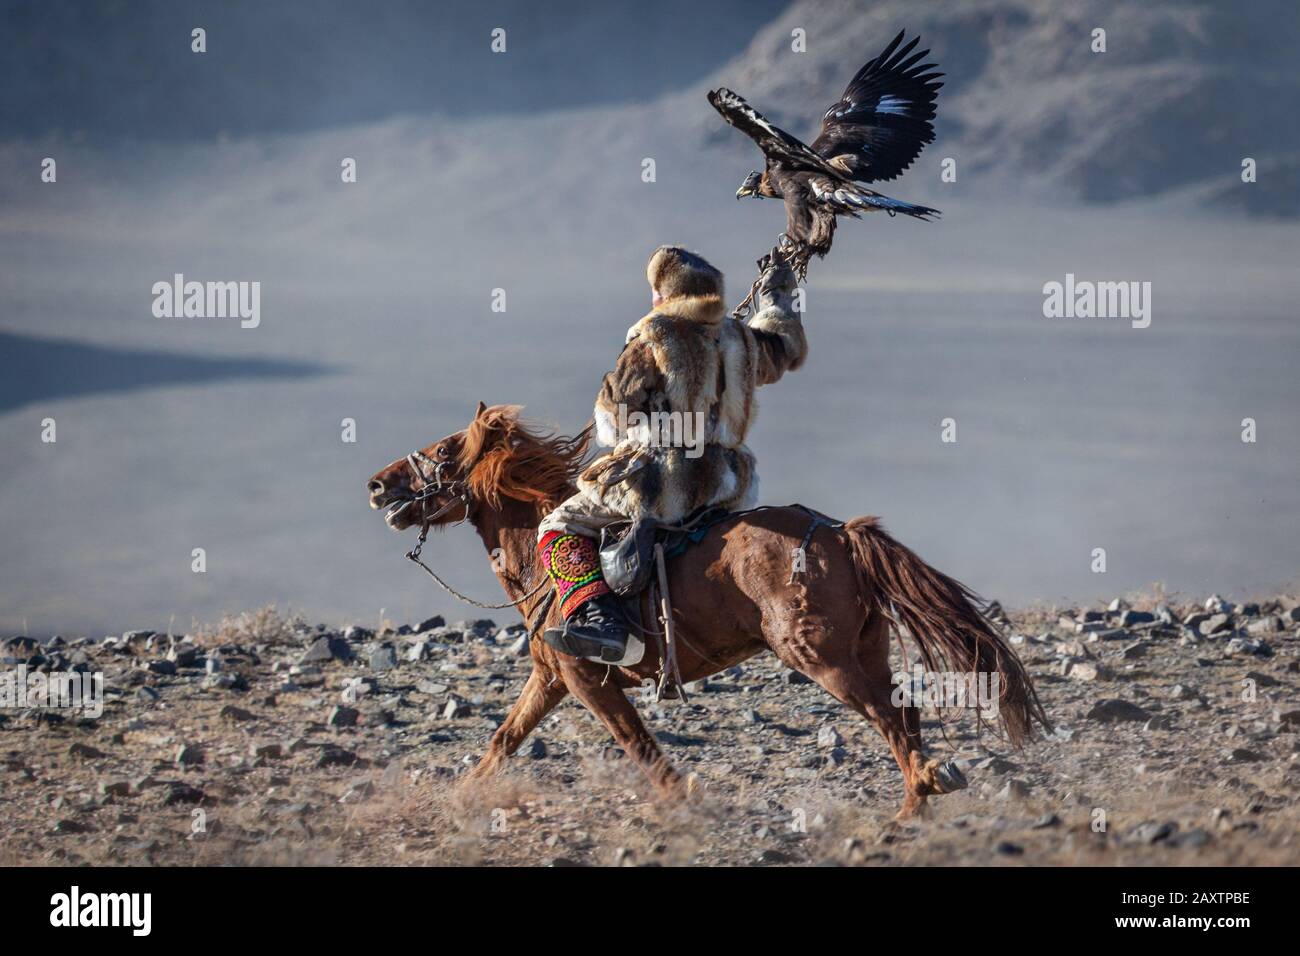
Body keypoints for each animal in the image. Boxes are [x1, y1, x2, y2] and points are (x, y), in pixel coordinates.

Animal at [366, 402, 1048, 818]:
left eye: (444, 451)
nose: (378, 484)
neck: (536, 553)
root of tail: (841, 532)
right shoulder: (552, 676)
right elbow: (503, 739)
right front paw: (459, 797)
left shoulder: (587, 678)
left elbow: (636, 744)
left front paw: (687, 799)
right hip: (865, 648)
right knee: (901, 716)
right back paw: (916, 805)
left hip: (820, 657)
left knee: (888, 718)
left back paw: (921, 794)